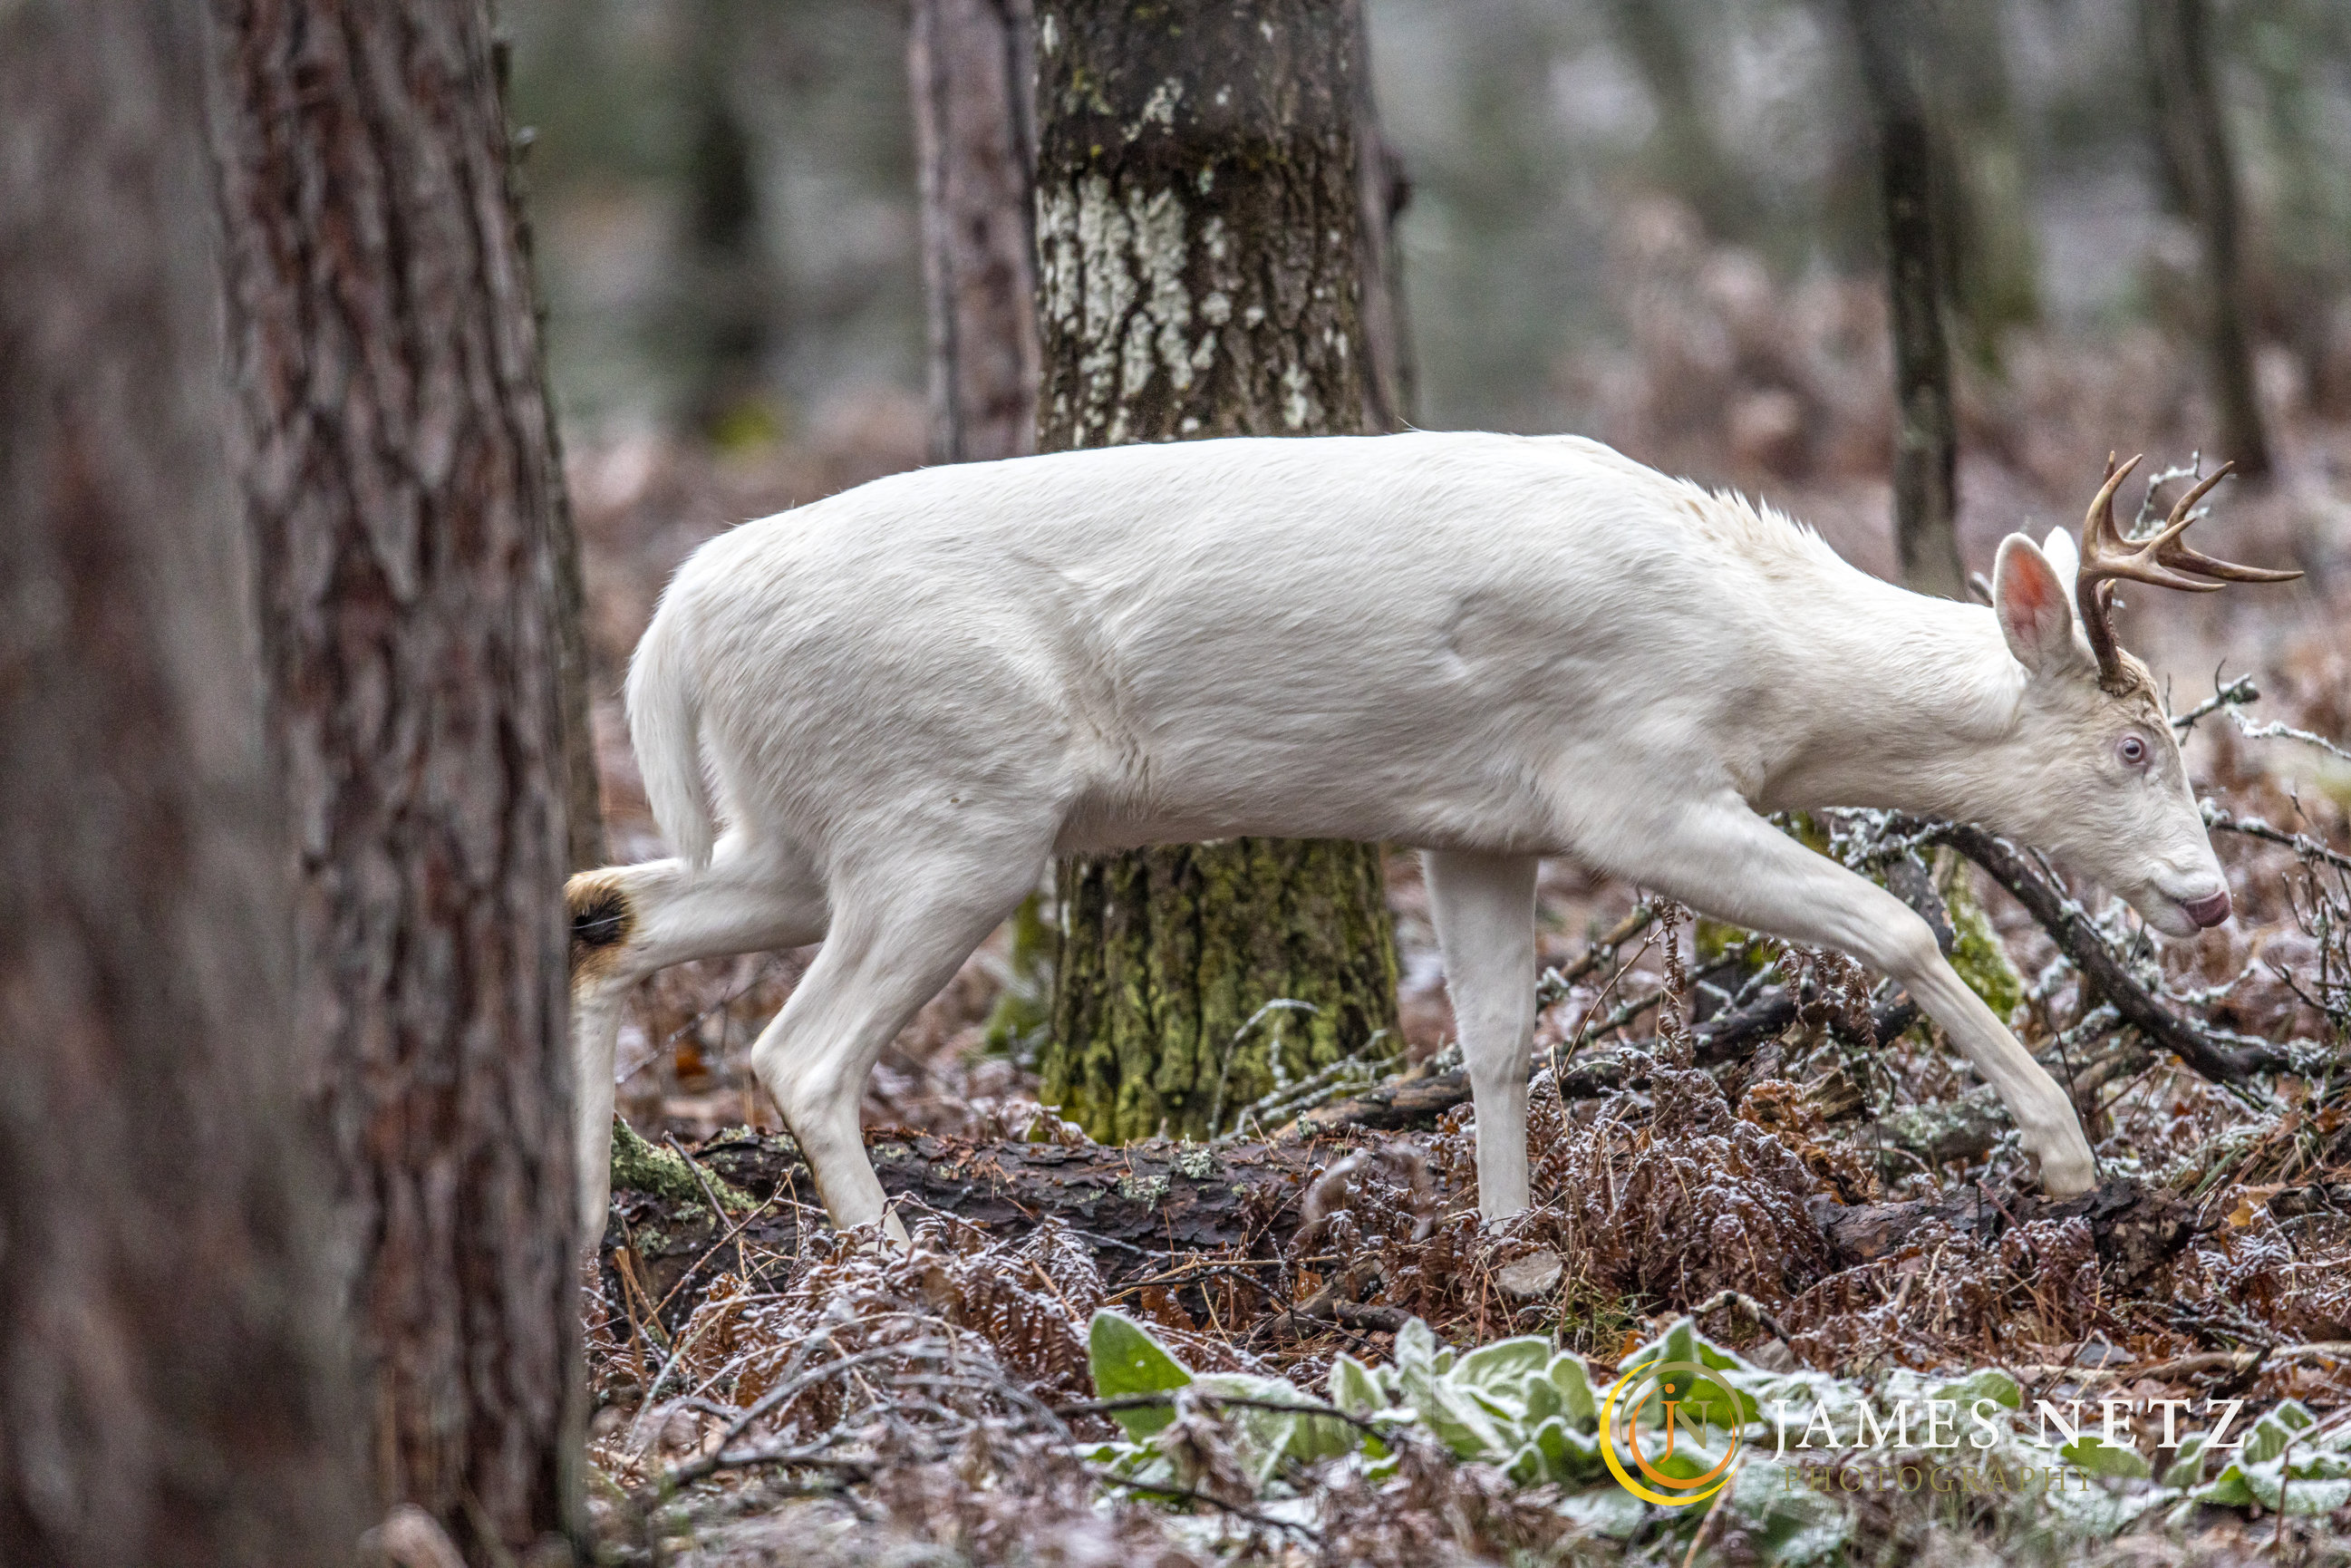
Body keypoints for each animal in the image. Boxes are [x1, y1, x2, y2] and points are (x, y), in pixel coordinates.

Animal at [565, 432, 2296, 1247]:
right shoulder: (1629, 779)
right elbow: (1896, 925)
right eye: (2133, 742)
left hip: (804, 832)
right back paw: (898, 1279)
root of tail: (676, 618)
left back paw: (583, 1228)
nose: (2210, 896)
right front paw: (2066, 1155)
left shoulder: (1481, 822)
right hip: (942, 812)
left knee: (603, 906)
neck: (1761, 658)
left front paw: (1511, 1252)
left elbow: (1491, 1042)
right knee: (793, 1050)